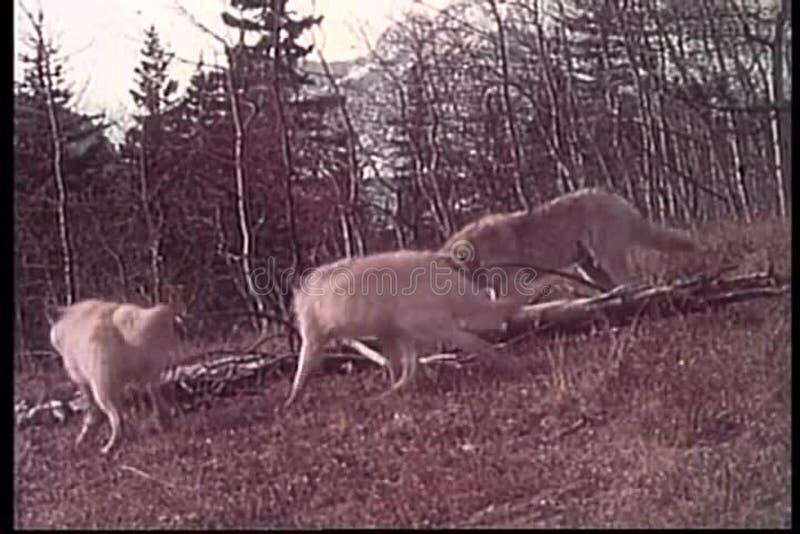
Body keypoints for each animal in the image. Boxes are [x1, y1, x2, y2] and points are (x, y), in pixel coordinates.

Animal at [49, 298, 185, 454]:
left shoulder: (84, 377)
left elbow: (93, 411)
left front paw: (84, 437)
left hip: (103, 384)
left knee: (117, 418)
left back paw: (110, 446)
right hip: (151, 376)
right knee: (157, 399)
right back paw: (166, 426)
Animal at [284, 249, 522, 407]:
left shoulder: (313, 337)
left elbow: (301, 371)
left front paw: (290, 401)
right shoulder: (386, 332)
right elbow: (393, 363)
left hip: (424, 326)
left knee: (475, 343)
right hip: (412, 329)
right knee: (415, 366)